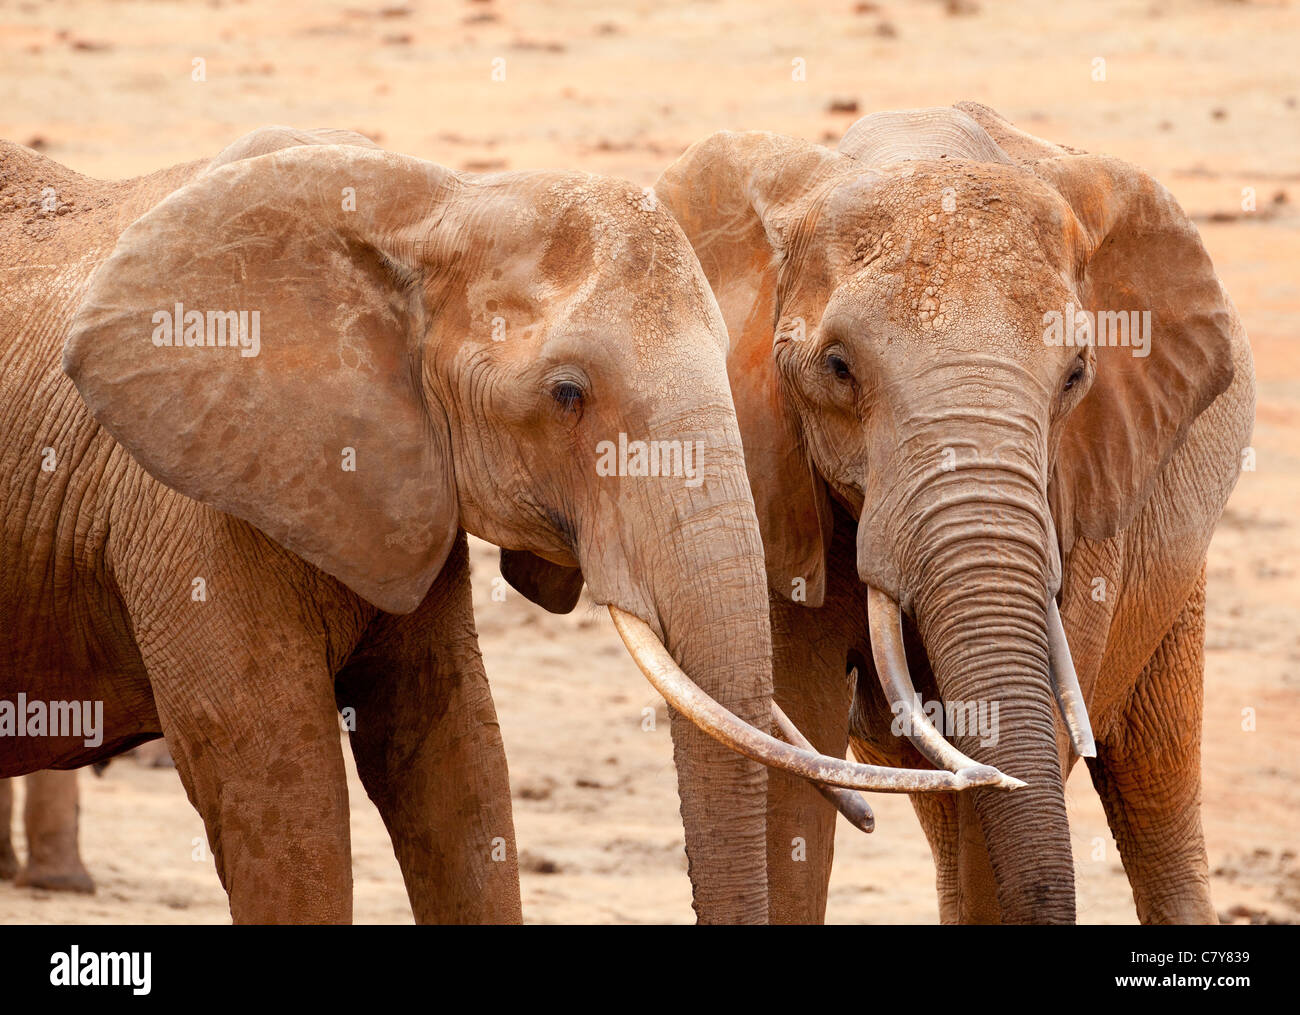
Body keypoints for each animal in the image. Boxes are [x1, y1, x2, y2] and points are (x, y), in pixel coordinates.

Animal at [0, 125, 976, 924]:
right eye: (567, 394)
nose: (871, 809)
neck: (434, 204)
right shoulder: (188, 508)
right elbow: (277, 786)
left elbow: (453, 759)